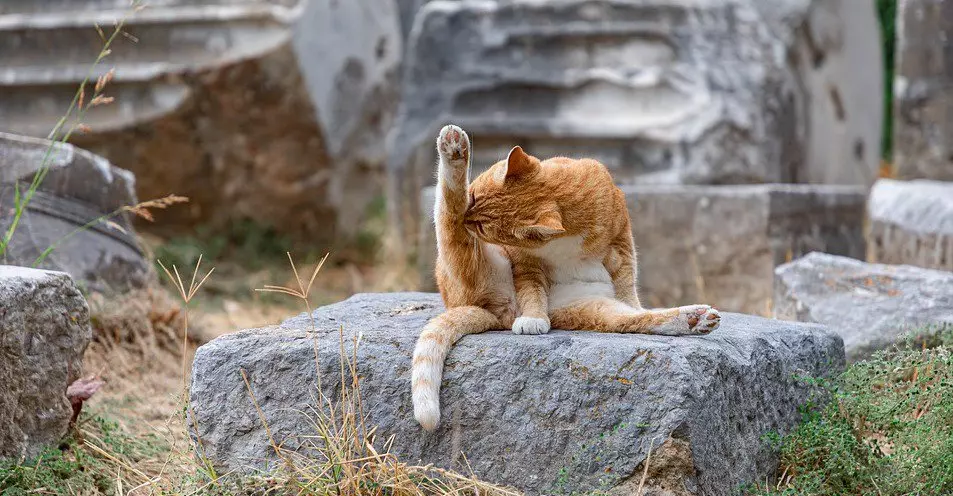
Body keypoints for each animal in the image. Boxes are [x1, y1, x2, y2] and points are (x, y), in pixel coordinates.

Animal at [410, 126, 720, 432]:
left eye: (482, 226)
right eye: (472, 197)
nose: (468, 218)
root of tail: (497, 314)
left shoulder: (621, 242)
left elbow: (626, 281)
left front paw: (636, 301)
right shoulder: (525, 261)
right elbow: (532, 290)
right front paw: (533, 318)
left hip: (592, 308)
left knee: (635, 319)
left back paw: (693, 319)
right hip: (473, 263)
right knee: (449, 216)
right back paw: (454, 150)